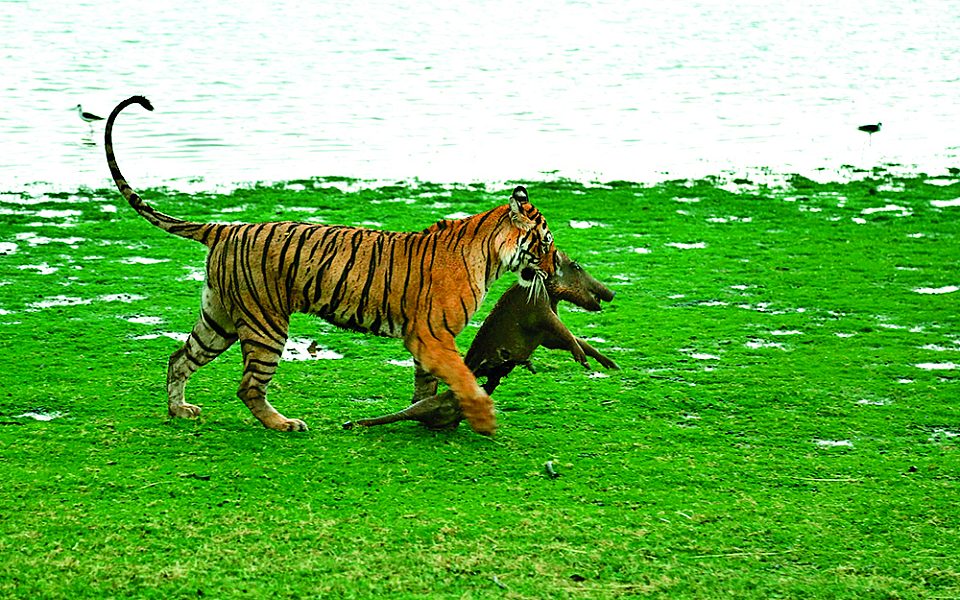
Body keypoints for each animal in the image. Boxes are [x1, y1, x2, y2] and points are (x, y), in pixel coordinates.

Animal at [104, 95, 557, 436]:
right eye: (547, 242)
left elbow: (427, 383)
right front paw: (481, 418)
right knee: (248, 386)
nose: (555, 272)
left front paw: (426, 415)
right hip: (265, 324)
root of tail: (226, 227)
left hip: (220, 320)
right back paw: (283, 424)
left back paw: (179, 410)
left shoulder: (426, 341)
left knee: (179, 357)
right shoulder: (432, 335)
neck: (490, 255)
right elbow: (462, 377)